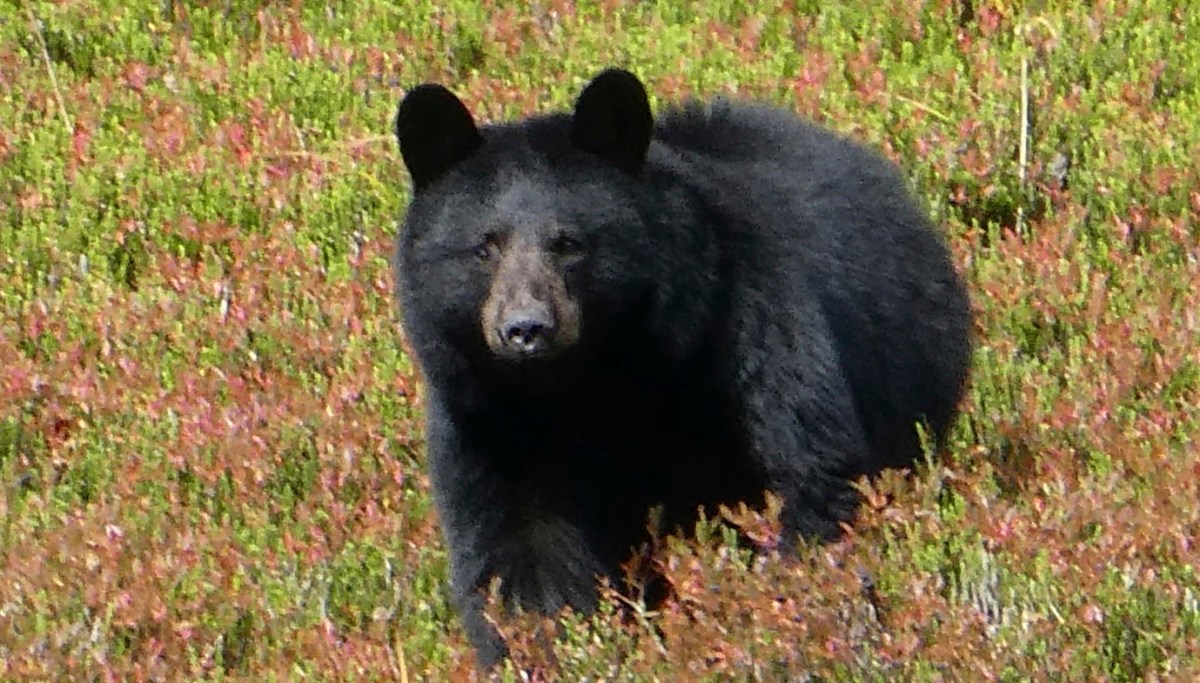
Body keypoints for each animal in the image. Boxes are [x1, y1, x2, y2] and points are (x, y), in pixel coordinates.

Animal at [391, 67, 972, 667]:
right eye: (483, 248)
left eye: (569, 242)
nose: (527, 329)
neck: (595, 383)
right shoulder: (489, 424)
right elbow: (523, 545)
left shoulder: (748, 332)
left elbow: (805, 477)